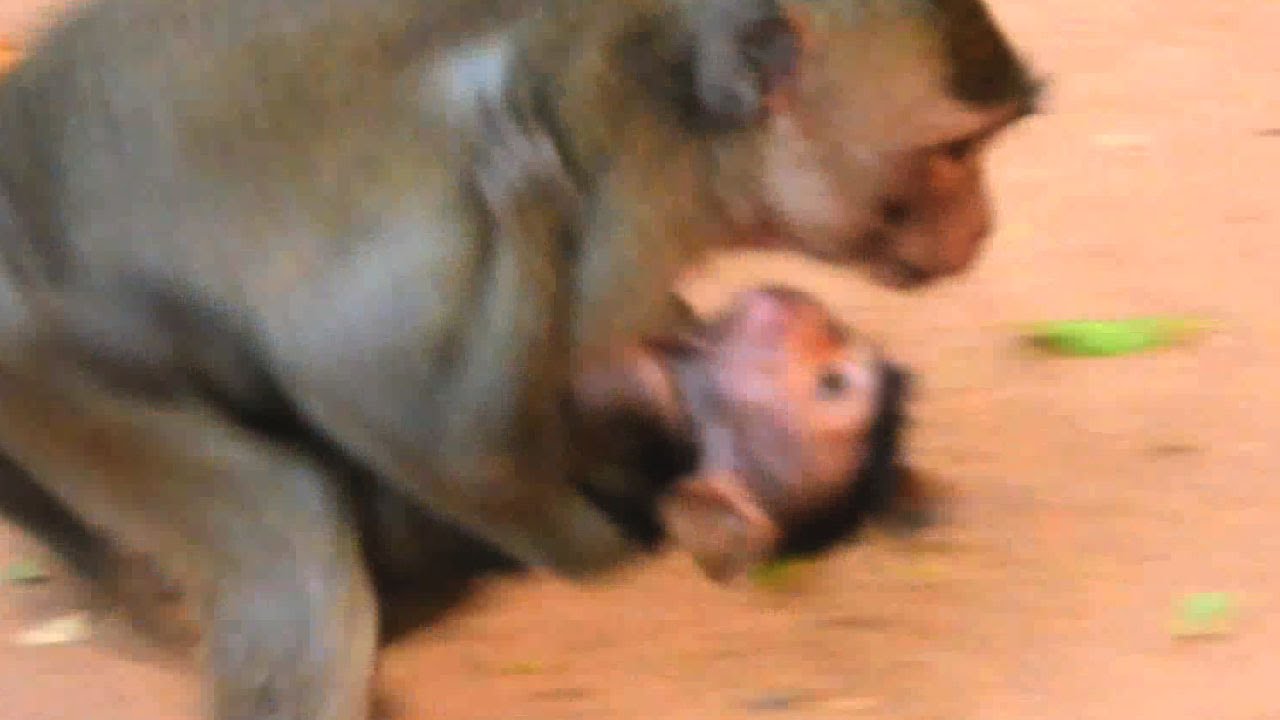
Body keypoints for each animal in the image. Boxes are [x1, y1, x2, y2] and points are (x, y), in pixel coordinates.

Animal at [0, 0, 1038, 717]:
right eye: (957, 150)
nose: (985, 224)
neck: (684, 93)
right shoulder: (626, 190)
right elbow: (374, 390)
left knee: (288, 538)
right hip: (45, 368)